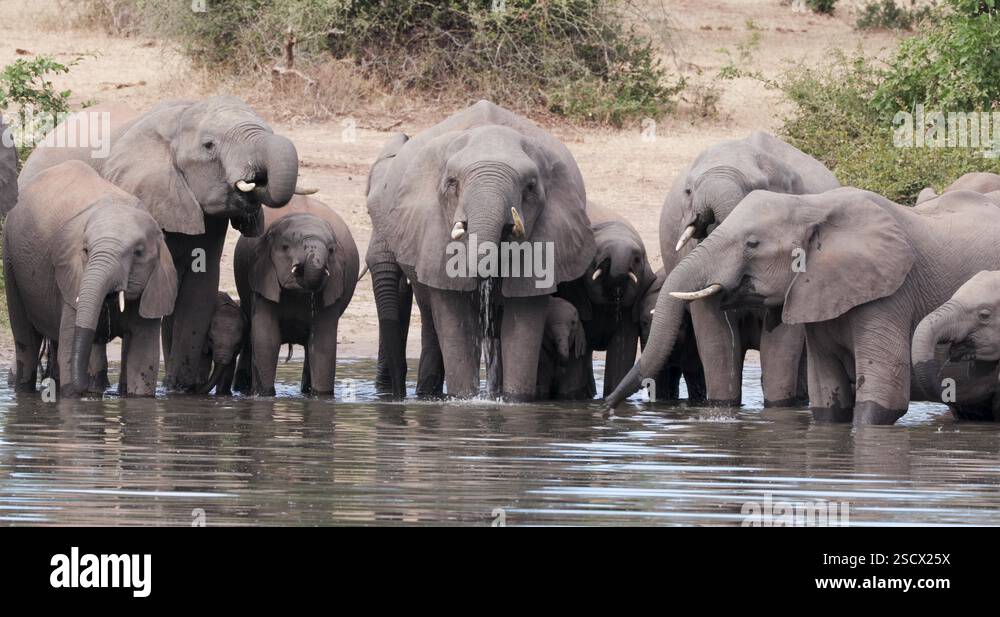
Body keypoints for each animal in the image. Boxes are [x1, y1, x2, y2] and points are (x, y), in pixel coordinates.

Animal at [3, 161, 176, 395]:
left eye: (139, 253)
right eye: (85, 250)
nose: (86, 388)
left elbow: (143, 361)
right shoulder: (72, 278)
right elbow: (68, 350)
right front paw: (74, 394)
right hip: (10, 258)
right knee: (26, 342)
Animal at [233, 196, 359, 396]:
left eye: (331, 250)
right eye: (285, 247)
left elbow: (322, 343)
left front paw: (321, 397)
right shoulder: (263, 278)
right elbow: (267, 339)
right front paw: (264, 395)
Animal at [376, 100, 594, 400]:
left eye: (530, 187)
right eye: (452, 182)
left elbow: (523, 327)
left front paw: (514, 401)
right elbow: (454, 323)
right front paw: (464, 400)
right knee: (432, 318)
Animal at [651, 132, 839, 407]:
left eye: (754, 188)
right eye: (688, 191)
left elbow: (783, 342)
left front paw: (777, 408)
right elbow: (716, 337)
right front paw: (722, 407)